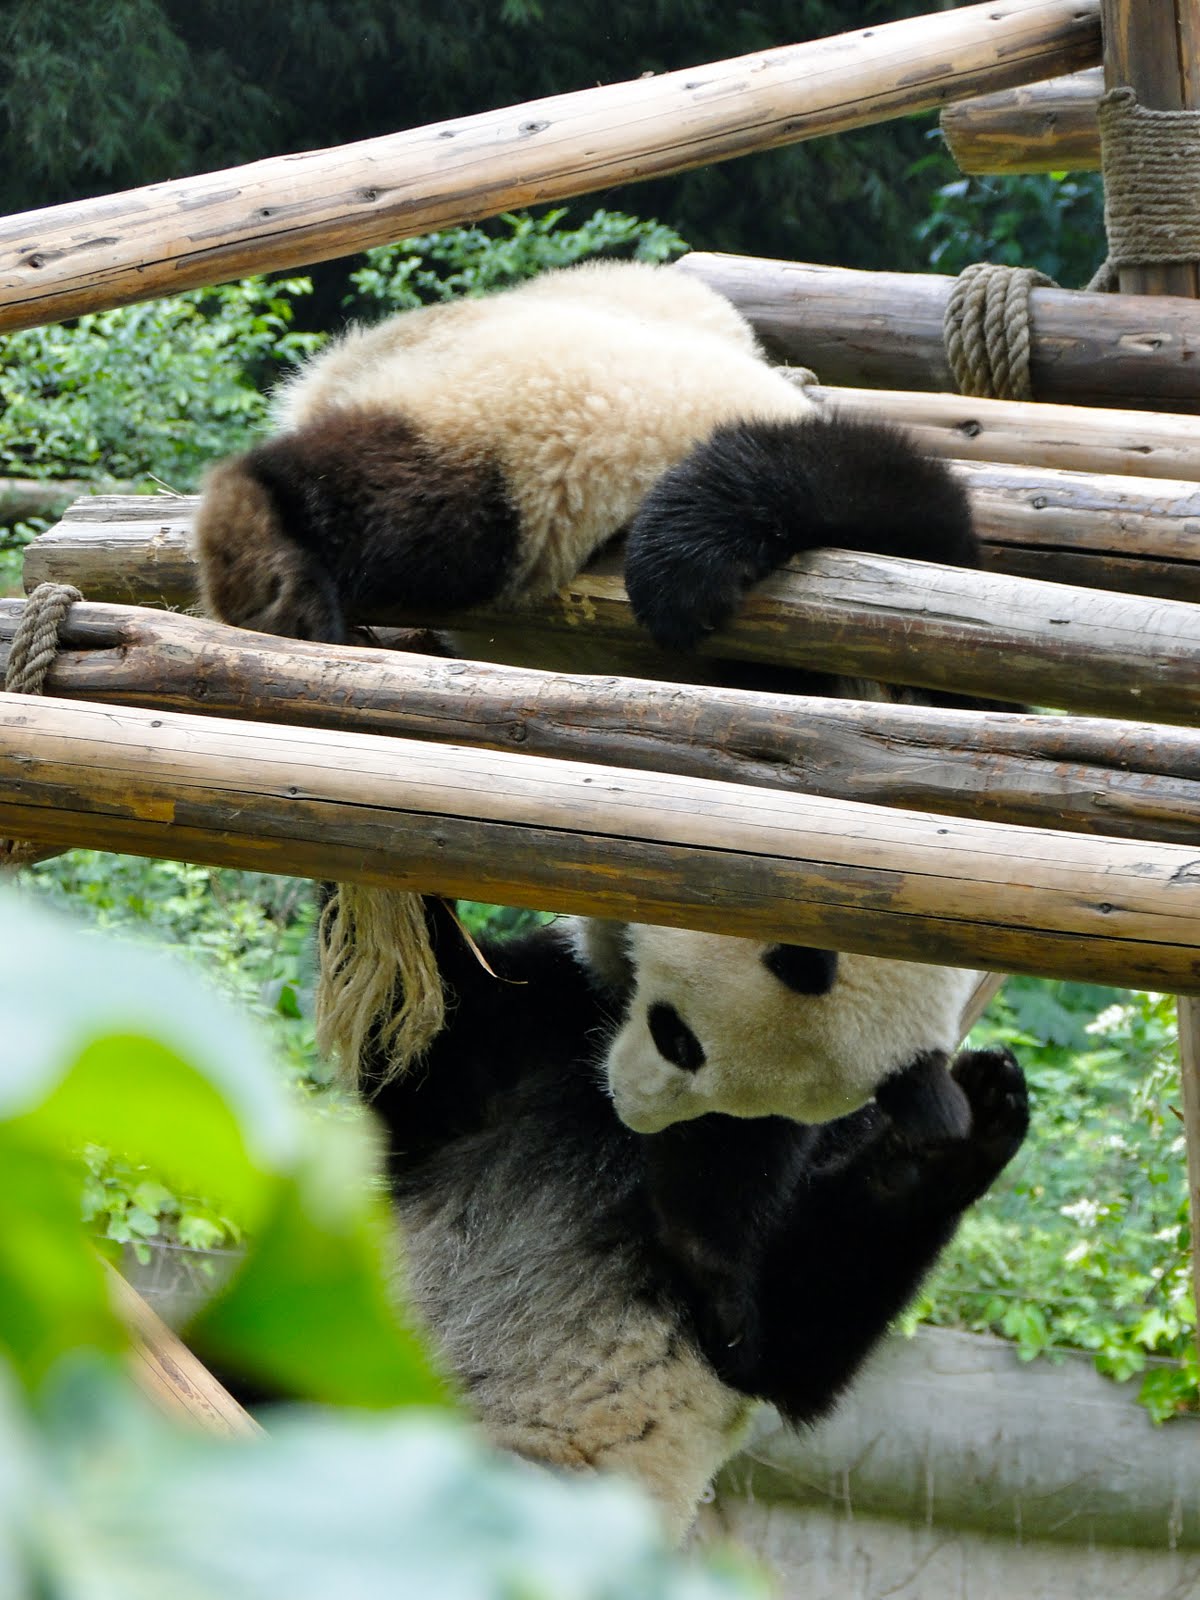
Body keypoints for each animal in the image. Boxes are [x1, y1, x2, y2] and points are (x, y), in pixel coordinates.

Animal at [193, 260, 1030, 1535]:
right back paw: (280, 573)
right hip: (531, 436)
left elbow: (777, 1338)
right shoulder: (531, 1038)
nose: (634, 1107)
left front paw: (974, 1116)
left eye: (729, 1099)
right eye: (679, 1037)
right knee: (436, 500)